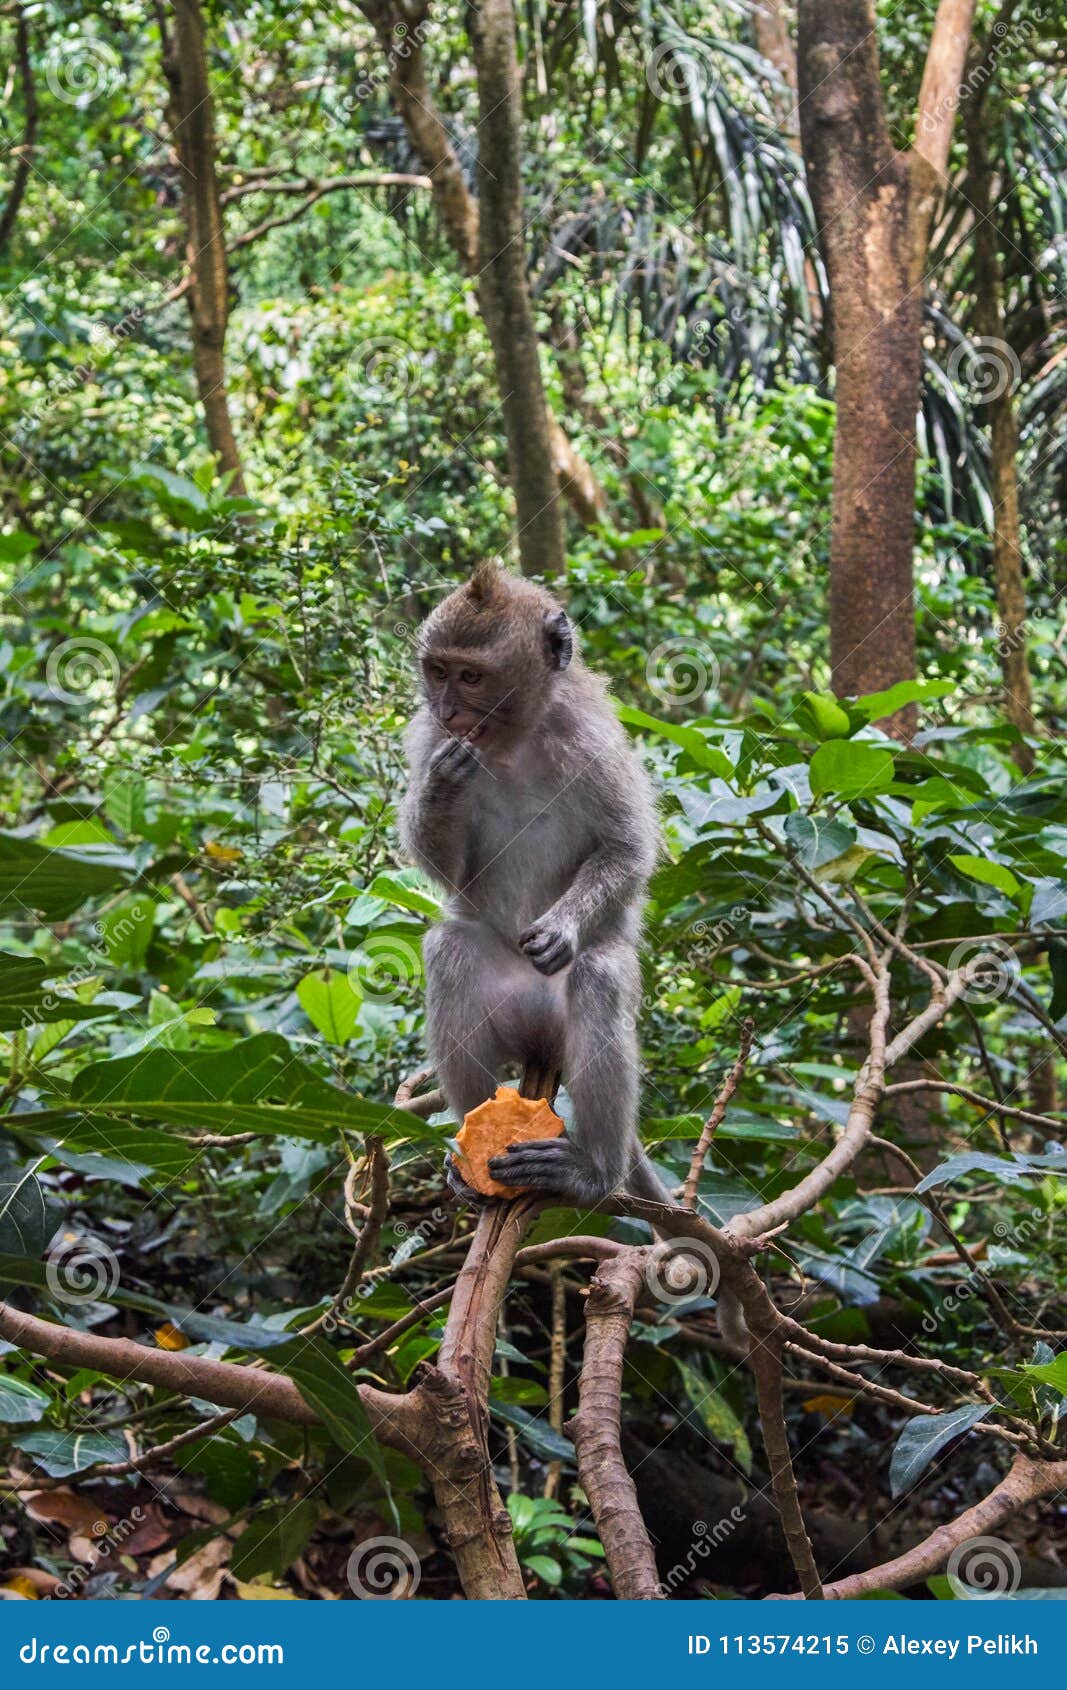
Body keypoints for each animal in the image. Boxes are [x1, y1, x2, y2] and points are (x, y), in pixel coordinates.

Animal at [399, 561, 673, 1210]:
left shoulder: (594, 739)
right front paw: (443, 785)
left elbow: (626, 847)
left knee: (600, 979)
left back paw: (592, 1173)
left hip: (563, 1018)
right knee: (450, 952)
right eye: (438, 672)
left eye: (472, 676)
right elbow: (449, 869)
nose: (449, 711)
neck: (513, 739)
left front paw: (561, 929)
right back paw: (469, 1146)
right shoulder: (426, 740)